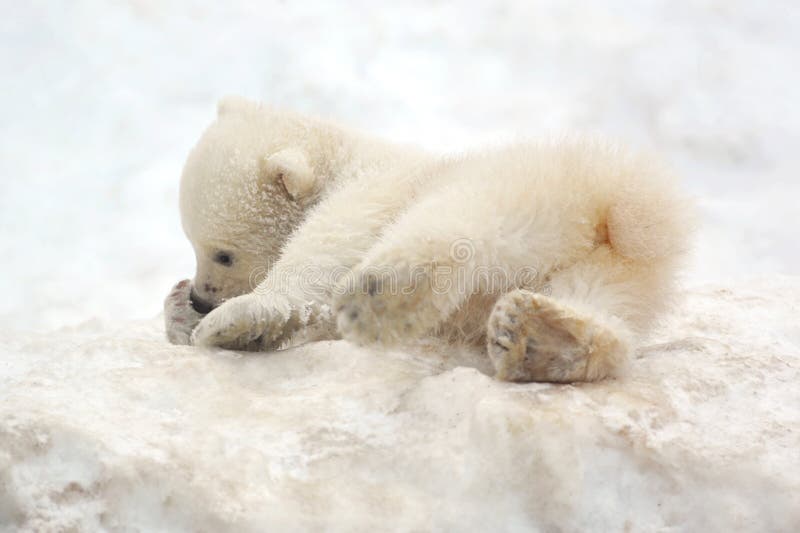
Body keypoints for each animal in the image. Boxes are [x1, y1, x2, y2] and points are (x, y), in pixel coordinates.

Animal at [167, 96, 692, 383]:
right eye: (190, 242)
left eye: (223, 254)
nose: (202, 298)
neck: (344, 154)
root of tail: (616, 202)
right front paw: (177, 311)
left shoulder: (374, 184)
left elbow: (330, 243)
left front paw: (239, 318)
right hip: (618, 264)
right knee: (601, 297)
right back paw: (542, 339)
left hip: (516, 185)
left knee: (459, 222)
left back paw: (386, 295)